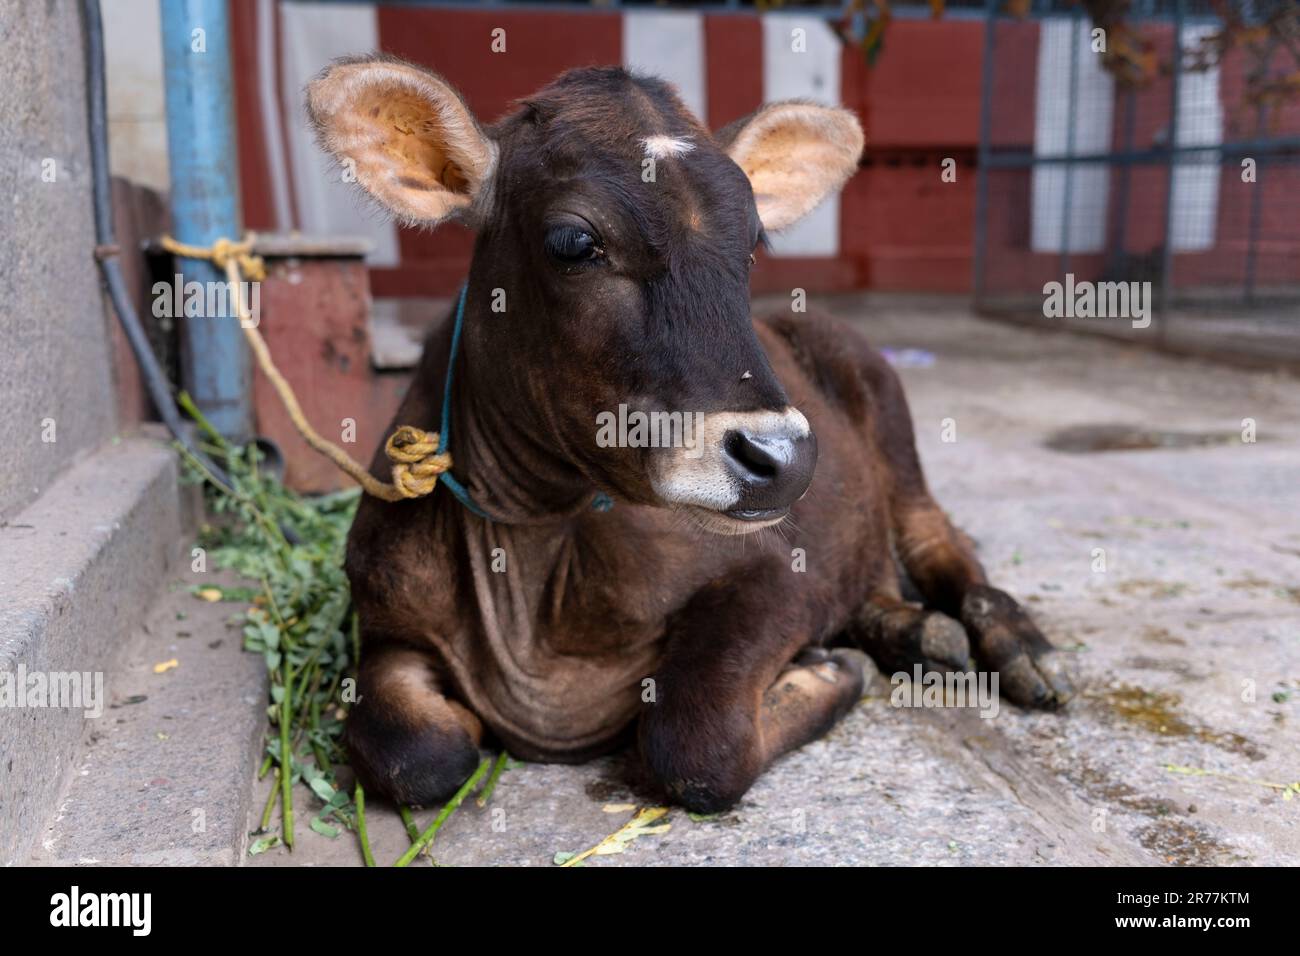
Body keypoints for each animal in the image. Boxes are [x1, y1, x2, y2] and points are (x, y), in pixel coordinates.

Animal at [306, 55, 1075, 814]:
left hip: (883, 403)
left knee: (937, 539)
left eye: (755, 242)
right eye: (574, 242)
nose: (783, 457)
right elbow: (415, 754)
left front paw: (832, 673)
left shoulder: (774, 575)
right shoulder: (384, 623)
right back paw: (913, 630)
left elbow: (697, 743)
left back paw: (1018, 647)